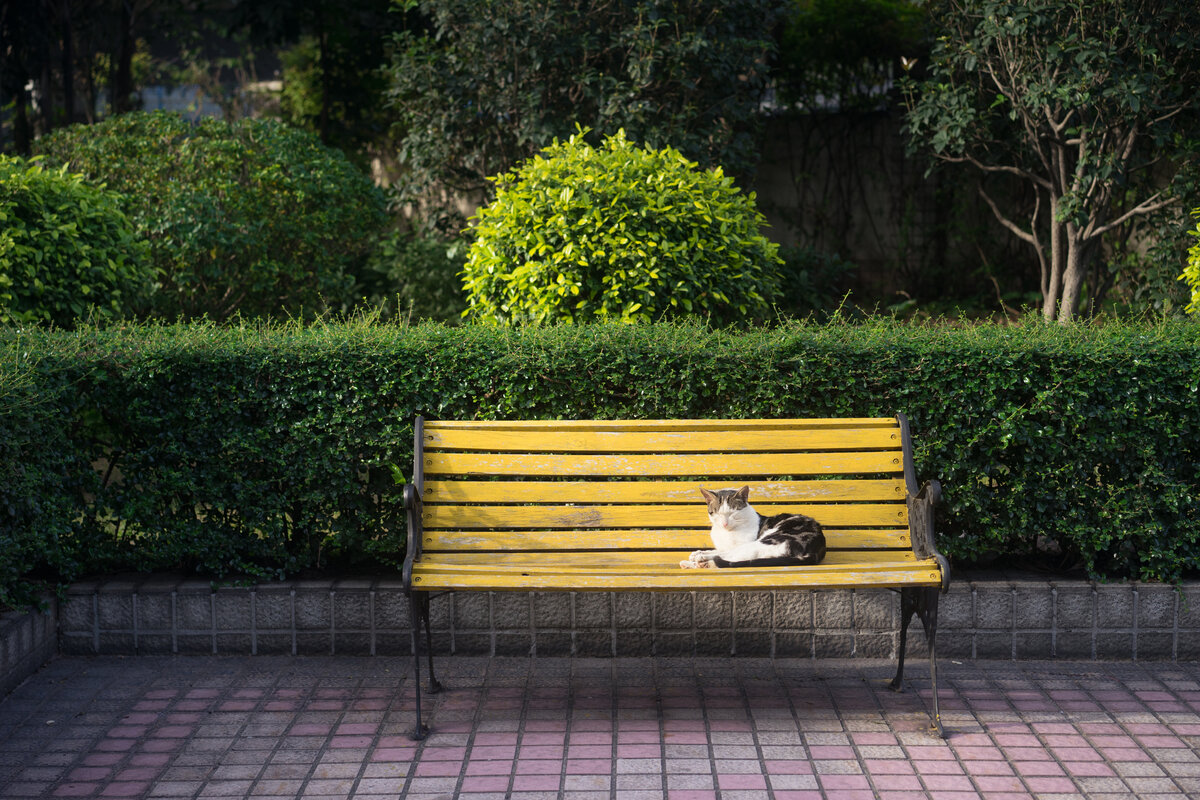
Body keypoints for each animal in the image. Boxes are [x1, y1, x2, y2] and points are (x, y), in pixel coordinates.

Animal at [681, 489, 830, 568]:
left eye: (732, 513)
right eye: (717, 514)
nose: (724, 524)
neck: (725, 532)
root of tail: (816, 550)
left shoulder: (741, 544)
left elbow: (724, 552)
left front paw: (700, 554)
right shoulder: (724, 546)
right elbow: (719, 550)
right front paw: (699, 552)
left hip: (766, 540)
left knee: (734, 557)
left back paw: (701, 561)